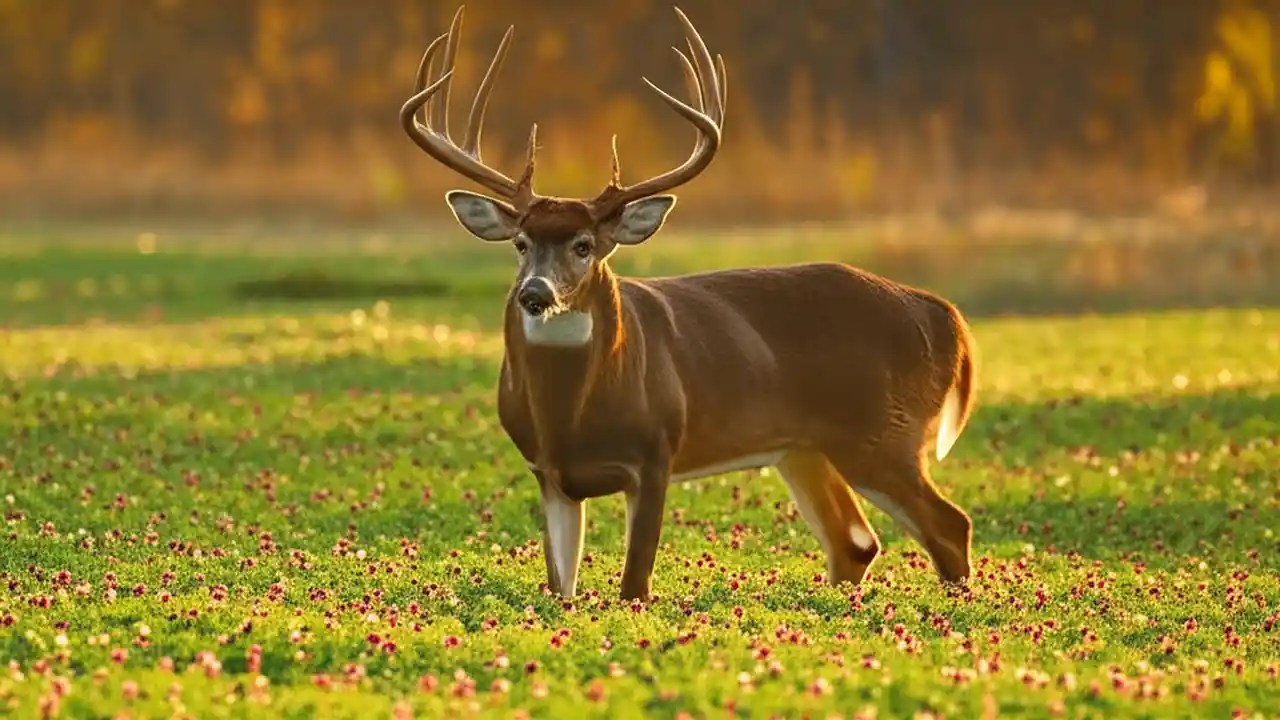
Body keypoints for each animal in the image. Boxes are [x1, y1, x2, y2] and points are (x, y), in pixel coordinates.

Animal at [400, 6, 978, 601]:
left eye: (585, 245)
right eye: (520, 243)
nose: (535, 293)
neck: (569, 417)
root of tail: (947, 317)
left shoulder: (656, 450)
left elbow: (634, 585)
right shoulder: (549, 474)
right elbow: (561, 590)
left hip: (884, 431)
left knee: (949, 524)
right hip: (806, 449)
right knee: (856, 542)